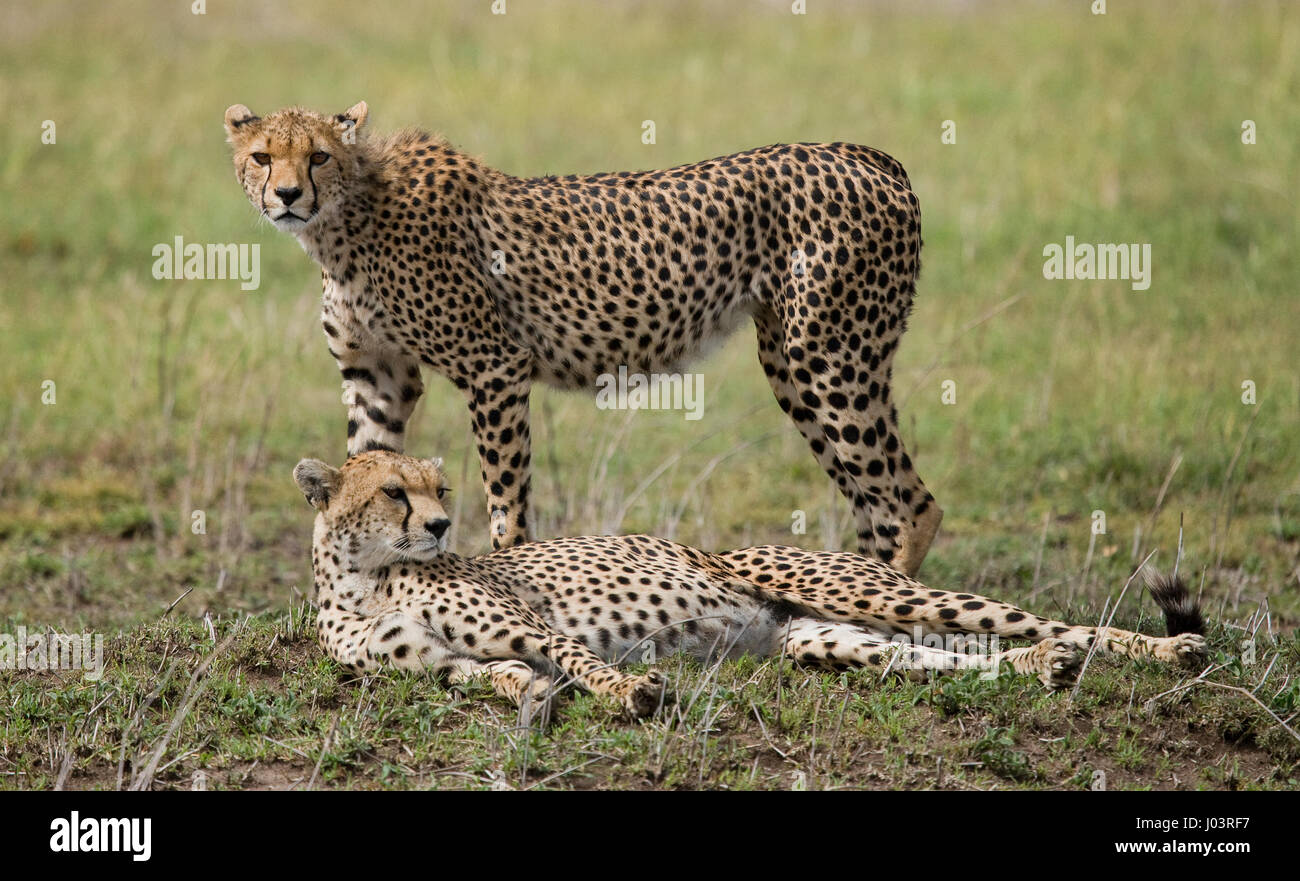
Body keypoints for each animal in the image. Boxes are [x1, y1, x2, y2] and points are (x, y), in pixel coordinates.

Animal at [226, 100, 944, 576]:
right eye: (262, 156)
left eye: (319, 155)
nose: (286, 195)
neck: (345, 220)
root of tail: (864, 154)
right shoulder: (377, 377)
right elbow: (360, 474)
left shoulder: (494, 366)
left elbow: (505, 499)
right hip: (798, 365)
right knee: (880, 500)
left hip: (829, 355)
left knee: (908, 504)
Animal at [293, 451, 1209, 719]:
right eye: (394, 491)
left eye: (439, 488)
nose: (442, 525)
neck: (363, 579)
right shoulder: (442, 663)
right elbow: (494, 675)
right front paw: (531, 692)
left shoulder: (532, 620)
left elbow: (580, 660)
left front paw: (628, 691)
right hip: (825, 638)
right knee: (948, 657)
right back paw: (1040, 668)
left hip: (874, 591)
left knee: (1054, 620)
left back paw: (1171, 649)